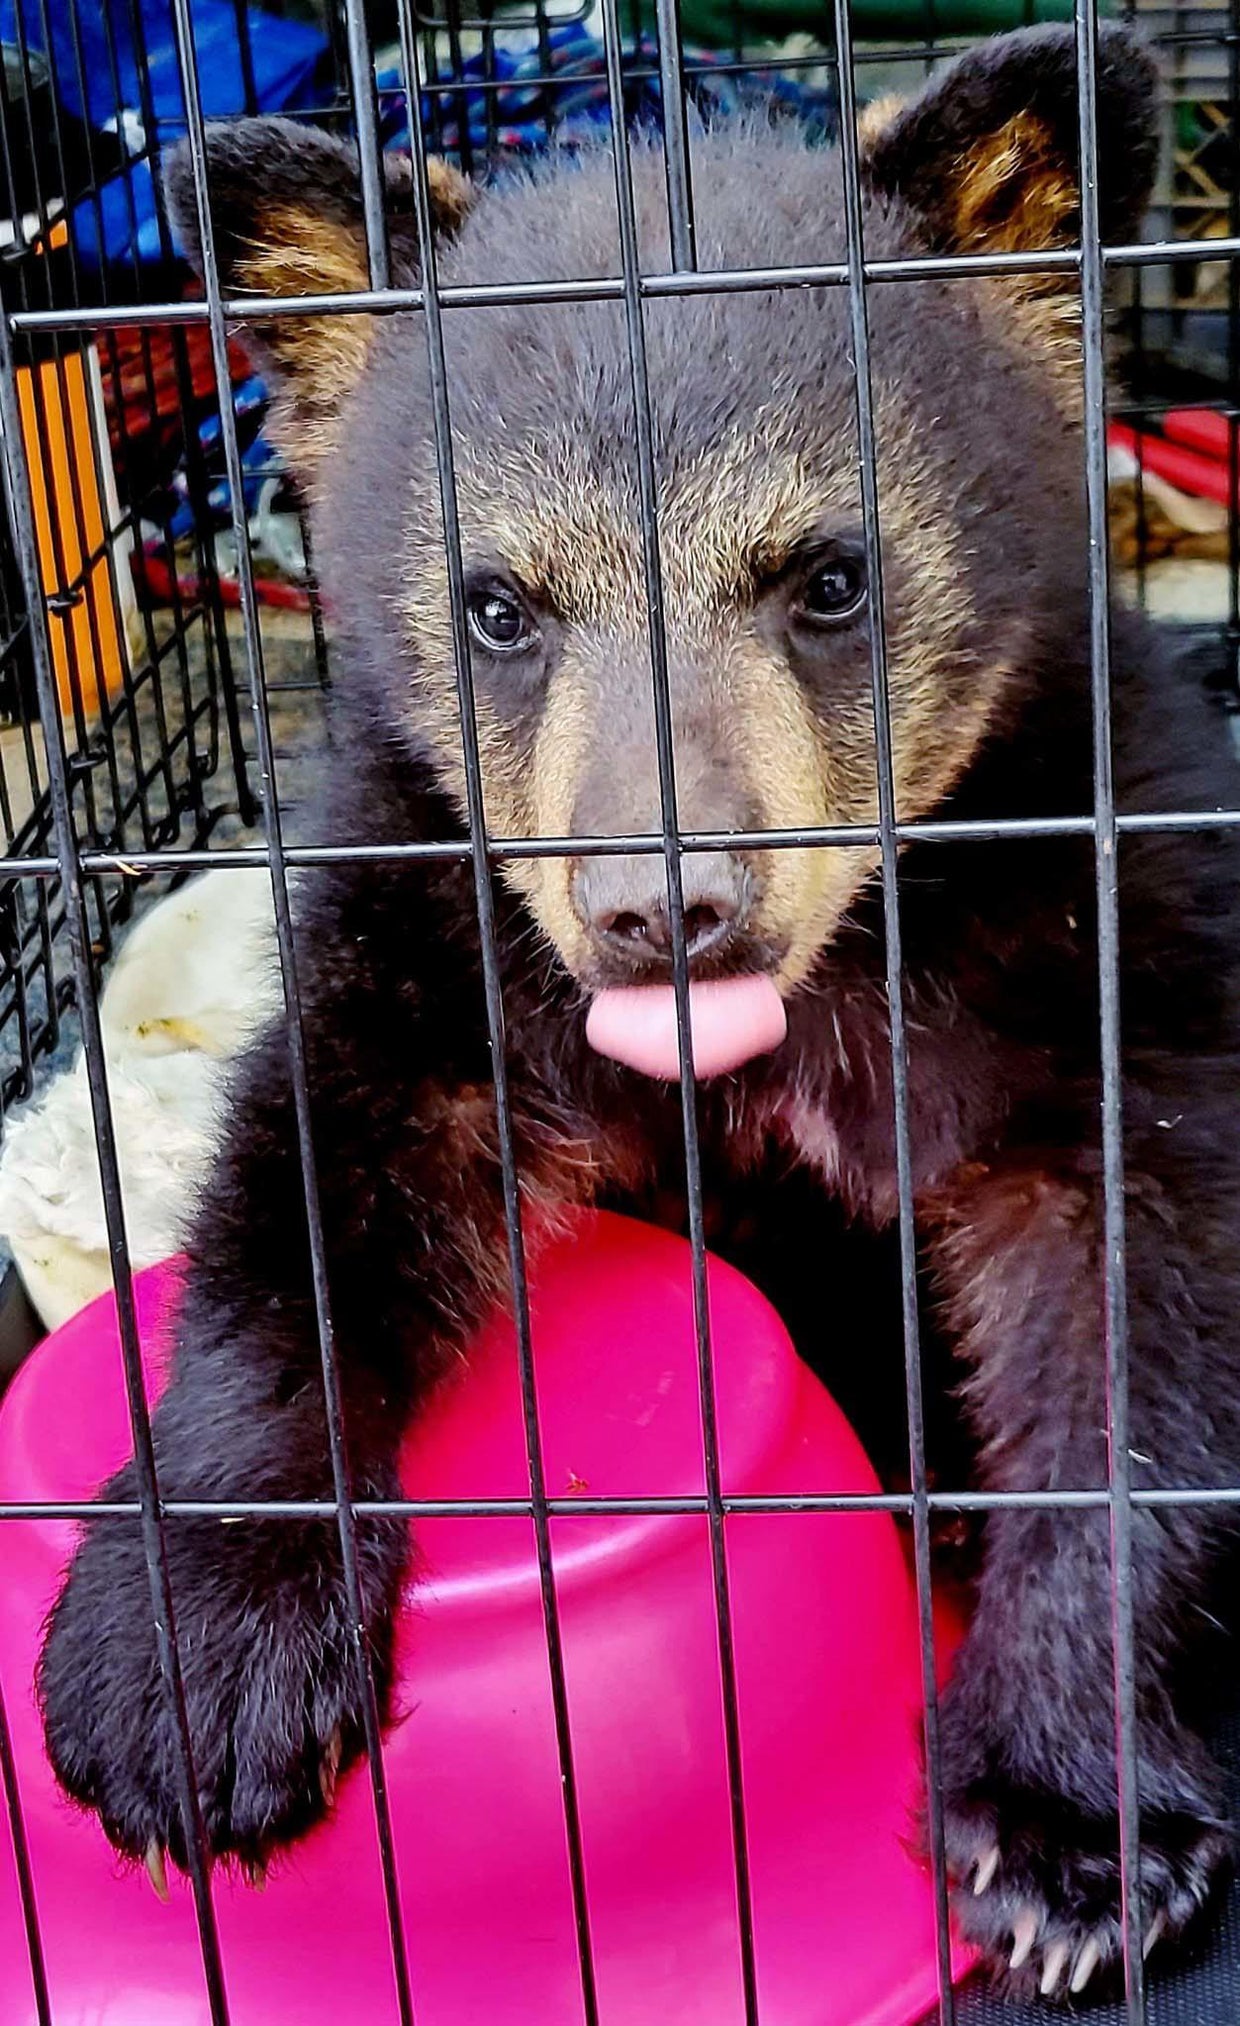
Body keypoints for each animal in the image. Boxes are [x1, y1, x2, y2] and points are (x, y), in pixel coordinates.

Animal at [36, 22, 1240, 2003]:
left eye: (829, 575)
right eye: (496, 604)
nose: (662, 913)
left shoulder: (1102, 913)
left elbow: (1136, 1301)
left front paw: (1068, 1824)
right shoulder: (435, 902)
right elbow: (321, 1169)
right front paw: (186, 1672)